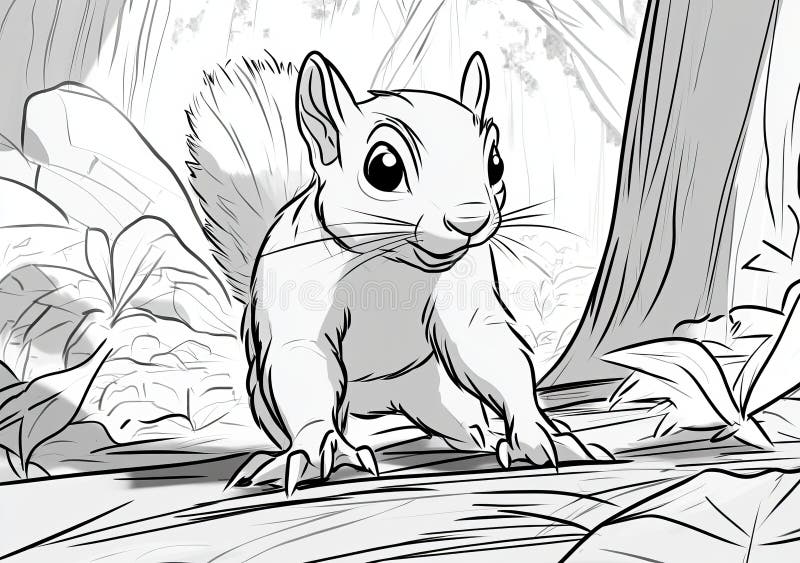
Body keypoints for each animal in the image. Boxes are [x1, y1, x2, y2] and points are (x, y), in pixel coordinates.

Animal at [186, 50, 609, 493]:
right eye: (383, 168)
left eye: (495, 164)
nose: (472, 221)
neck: (391, 265)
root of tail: (378, 401)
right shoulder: (297, 288)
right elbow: (301, 361)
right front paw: (319, 451)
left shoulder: (467, 283)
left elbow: (490, 349)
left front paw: (536, 433)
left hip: (437, 390)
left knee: (457, 417)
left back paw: (482, 434)